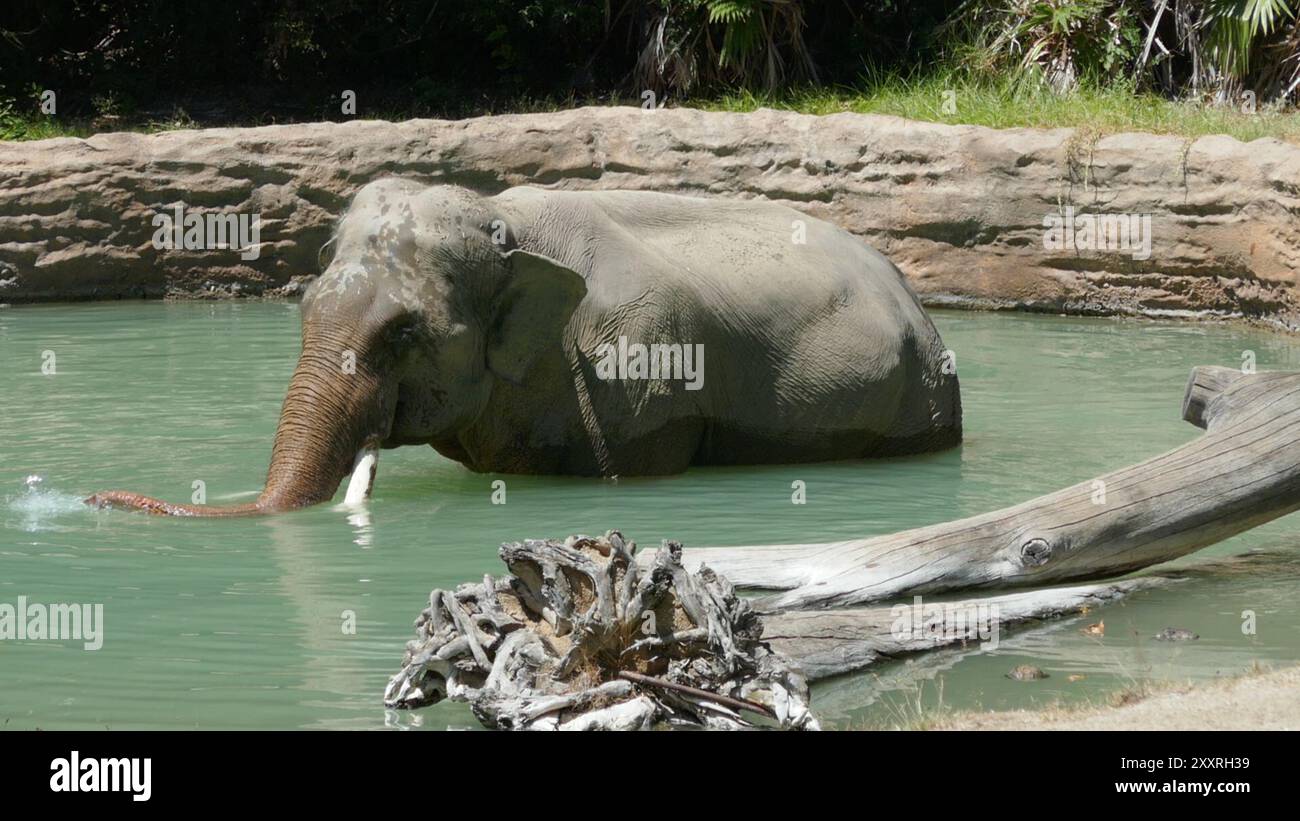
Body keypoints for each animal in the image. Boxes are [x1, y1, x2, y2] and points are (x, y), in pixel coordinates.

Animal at [86, 178, 961, 516]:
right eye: (304, 306)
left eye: (406, 334)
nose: (96, 497)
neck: (503, 216)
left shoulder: (640, 369)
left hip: (910, 402)